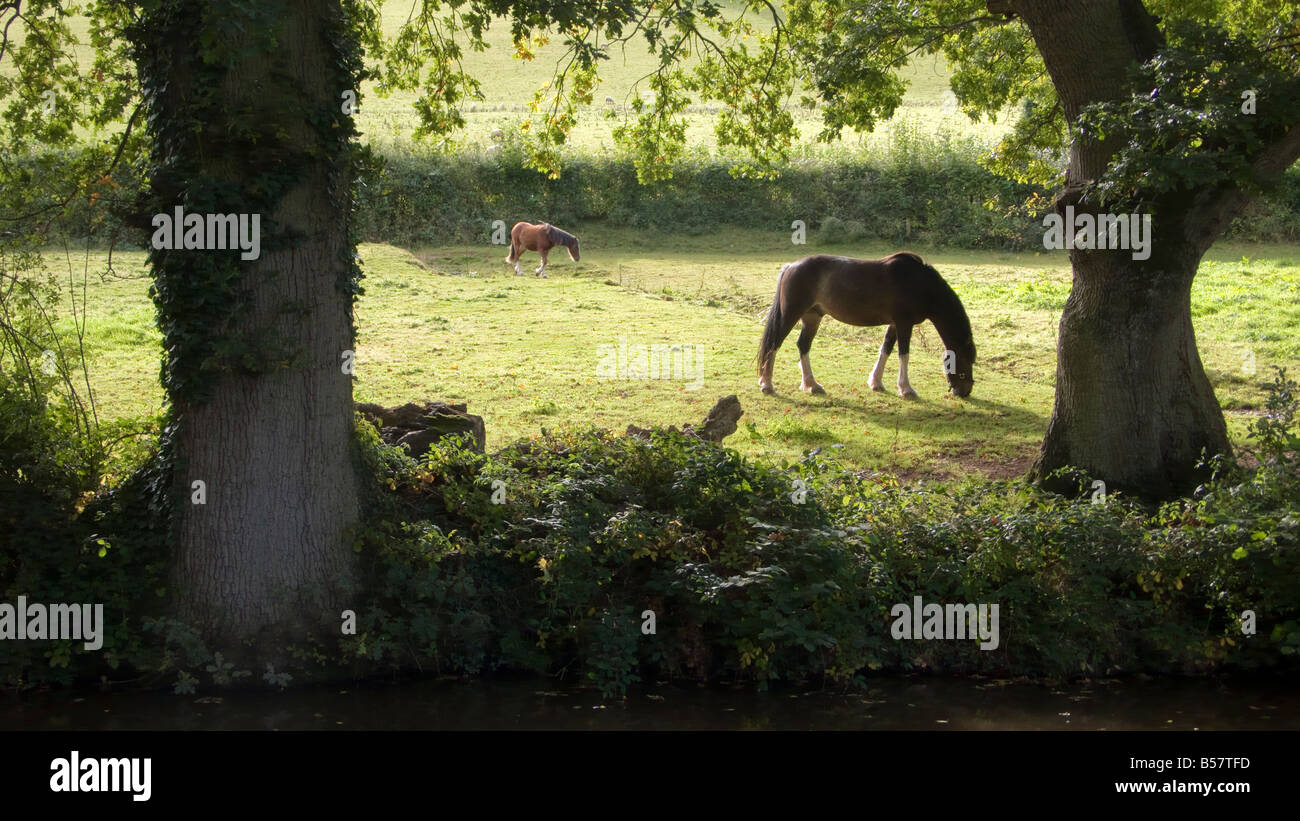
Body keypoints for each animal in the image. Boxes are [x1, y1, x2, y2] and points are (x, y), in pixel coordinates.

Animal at [756, 252, 976, 399]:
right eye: (966, 360)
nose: (965, 391)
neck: (920, 283)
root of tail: (791, 266)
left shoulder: (894, 324)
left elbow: (886, 349)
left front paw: (876, 382)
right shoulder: (904, 323)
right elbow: (903, 354)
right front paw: (906, 389)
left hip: (812, 317)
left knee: (803, 346)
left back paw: (811, 385)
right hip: (791, 315)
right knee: (774, 344)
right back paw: (767, 384)